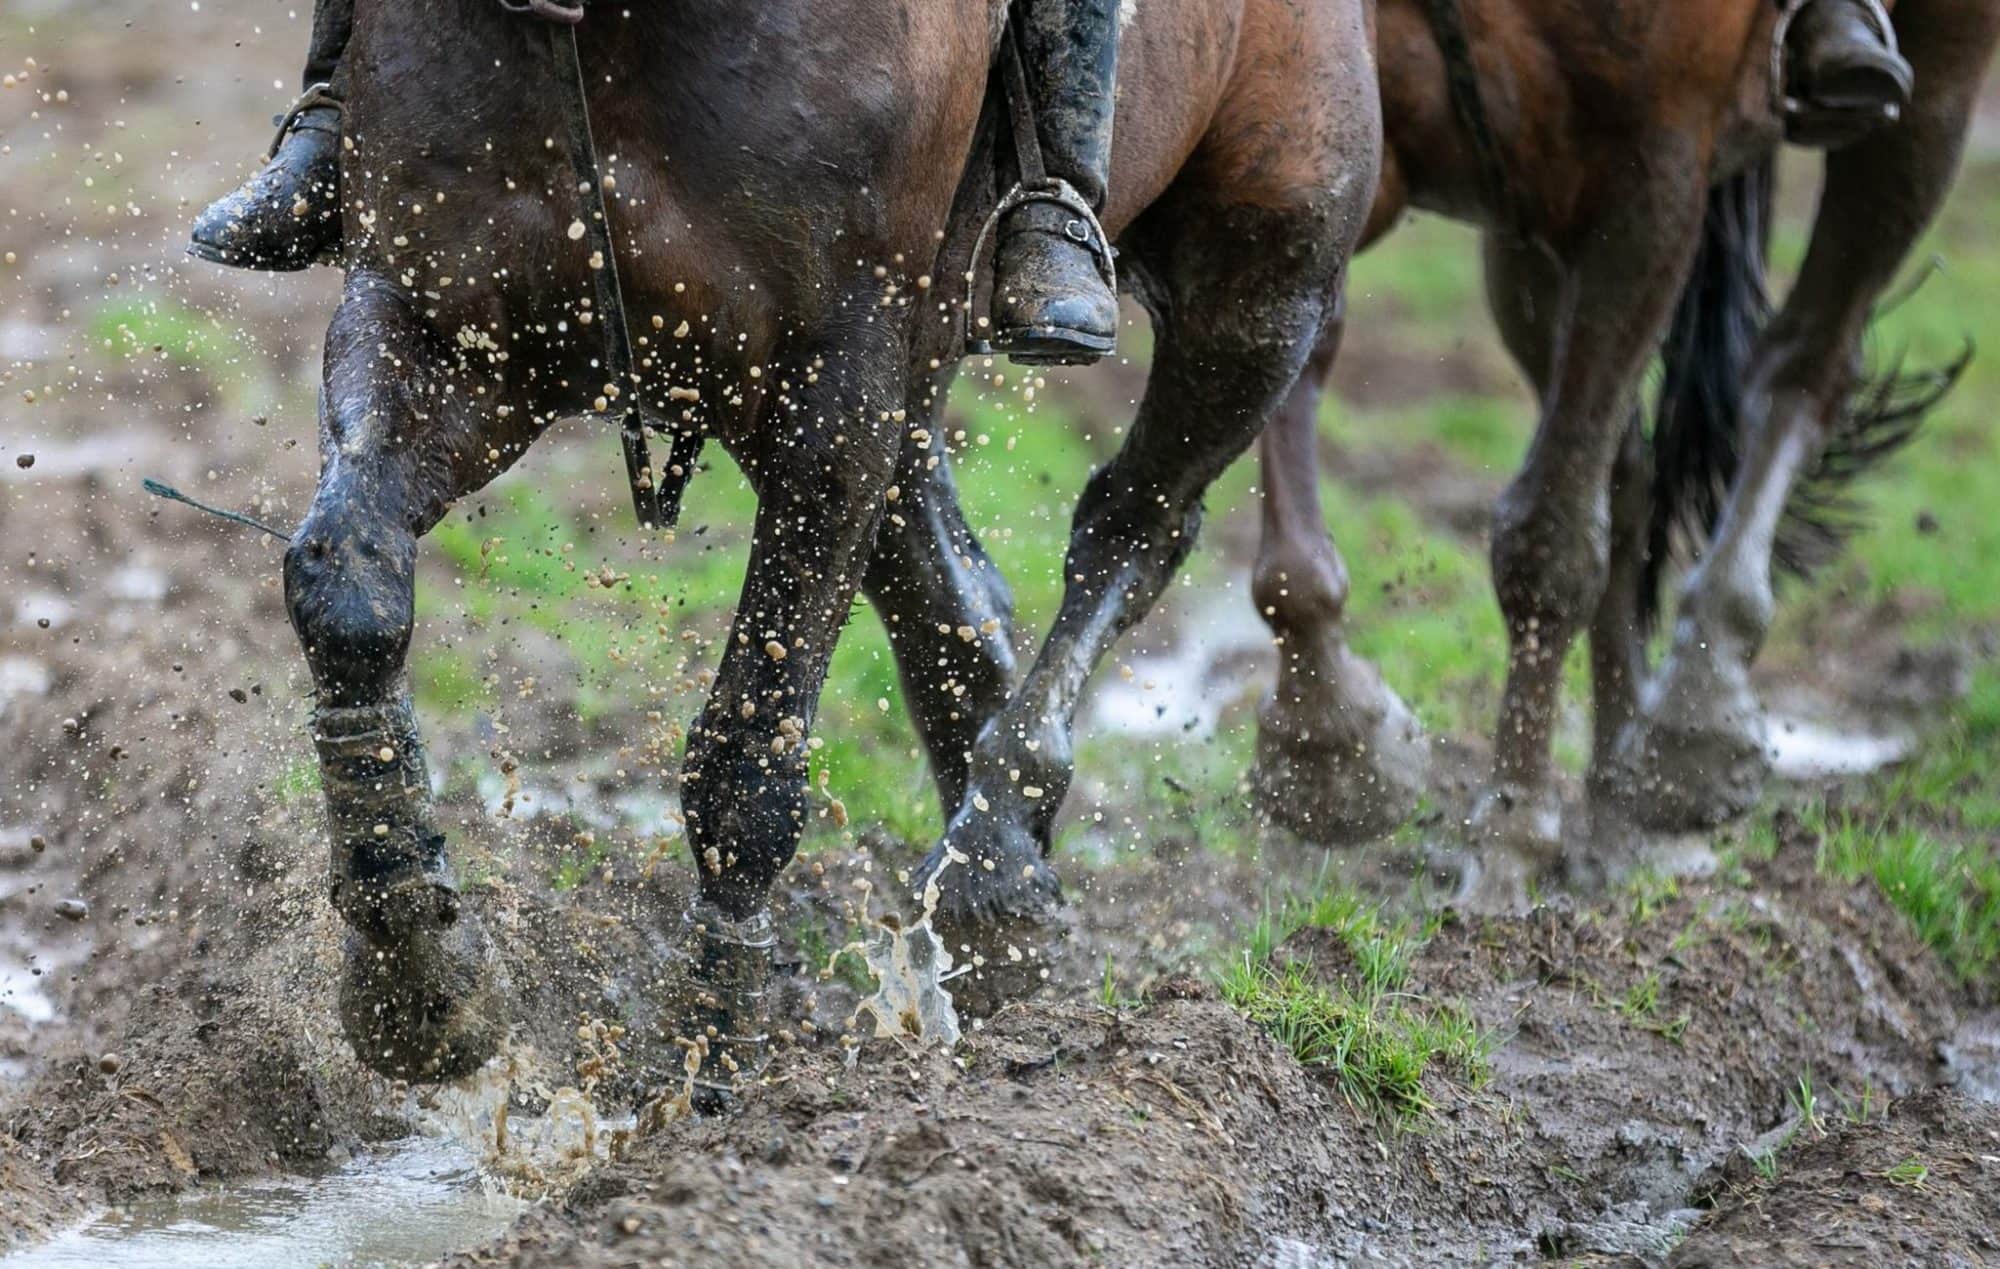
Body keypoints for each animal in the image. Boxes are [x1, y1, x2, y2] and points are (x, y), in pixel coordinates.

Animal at [284, 0, 1379, 1084]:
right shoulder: (442, 322)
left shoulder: (836, 393)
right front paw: (413, 970)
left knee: (1133, 526)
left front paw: (715, 1048)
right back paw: (998, 878)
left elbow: (748, 752)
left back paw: (995, 861)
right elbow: (343, 588)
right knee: (952, 595)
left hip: (1261, 286)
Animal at [1247, 0, 1998, 906]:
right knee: (1625, 468)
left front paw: (1509, 836)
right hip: (1526, 225)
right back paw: (1619, 792)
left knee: (1802, 365)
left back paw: (1693, 729)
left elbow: (1548, 541)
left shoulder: (1651, 178)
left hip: (1930, 91)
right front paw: (1334, 751)